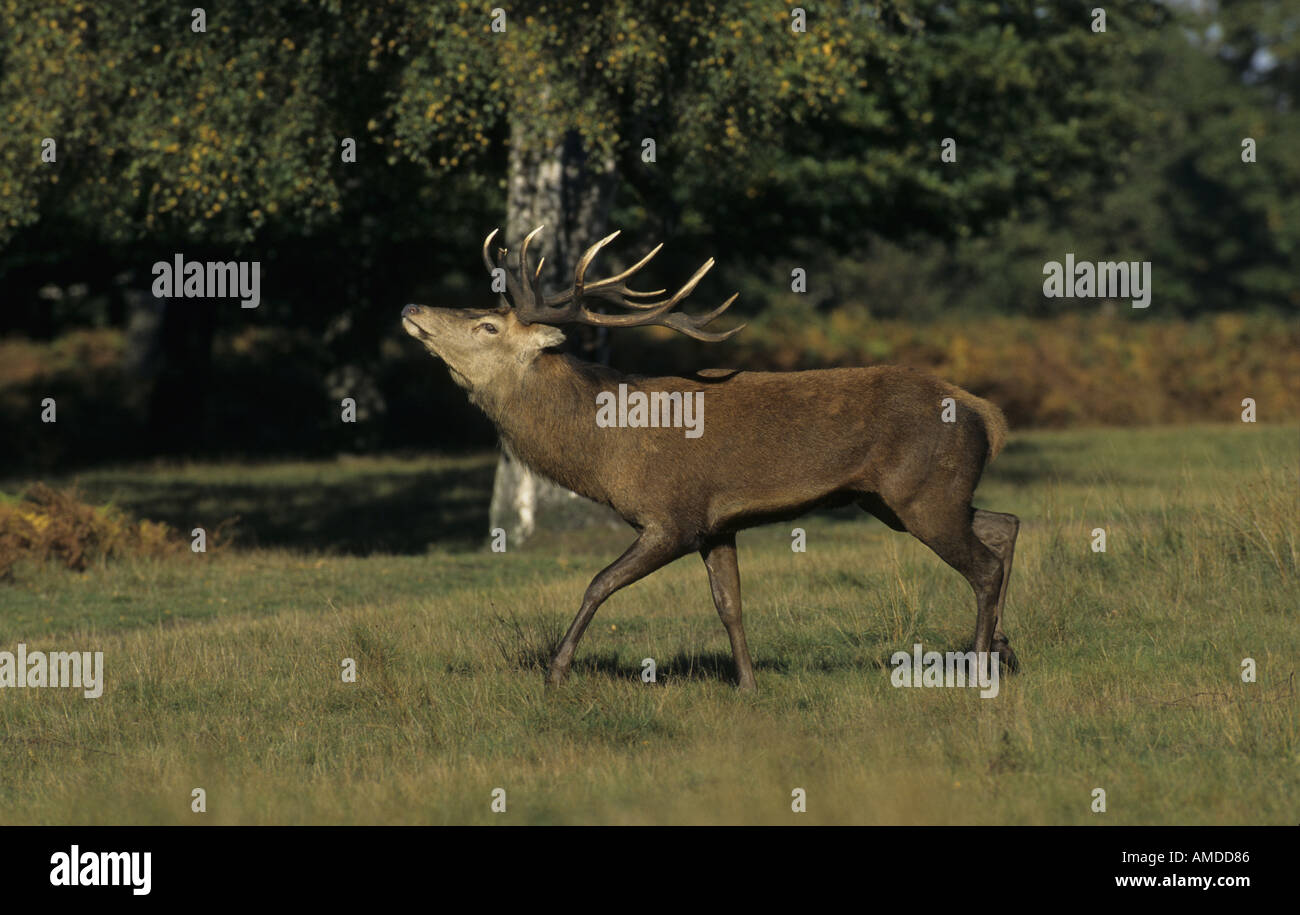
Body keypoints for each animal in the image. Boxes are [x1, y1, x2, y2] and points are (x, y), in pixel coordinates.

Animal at [401, 227, 1021, 690]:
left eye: (487, 325)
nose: (411, 305)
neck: (603, 452)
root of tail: (986, 414)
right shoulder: (716, 525)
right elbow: (730, 604)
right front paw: (747, 684)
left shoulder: (672, 516)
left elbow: (598, 583)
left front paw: (556, 673)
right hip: (898, 499)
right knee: (1004, 524)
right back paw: (1005, 649)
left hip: (922, 492)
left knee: (984, 563)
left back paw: (980, 667)